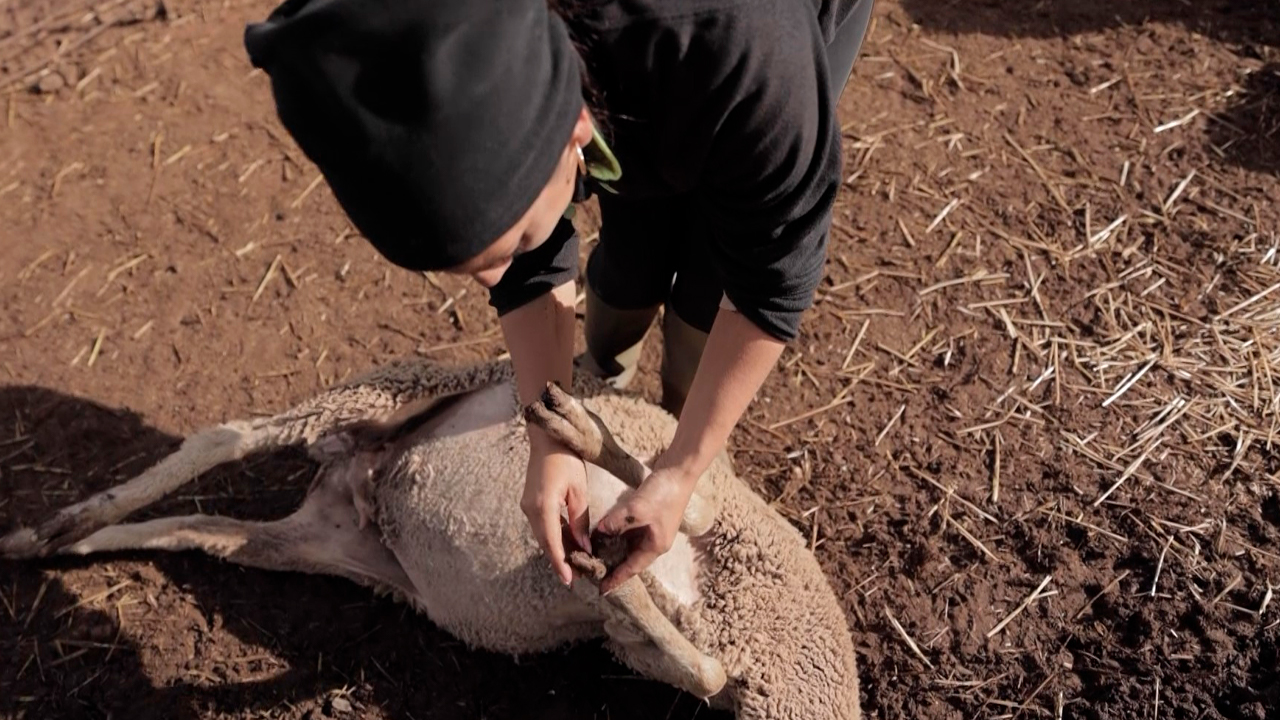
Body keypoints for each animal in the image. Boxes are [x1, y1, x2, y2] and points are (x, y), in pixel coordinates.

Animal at [0, 357, 862, 720]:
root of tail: (353, 478)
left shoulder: (658, 644)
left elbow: (693, 657)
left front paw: (604, 569)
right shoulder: (710, 531)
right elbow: (680, 518)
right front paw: (581, 442)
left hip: (323, 543)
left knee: (202, 531)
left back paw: (45, 539)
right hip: (394, 388)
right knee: (229, 435)